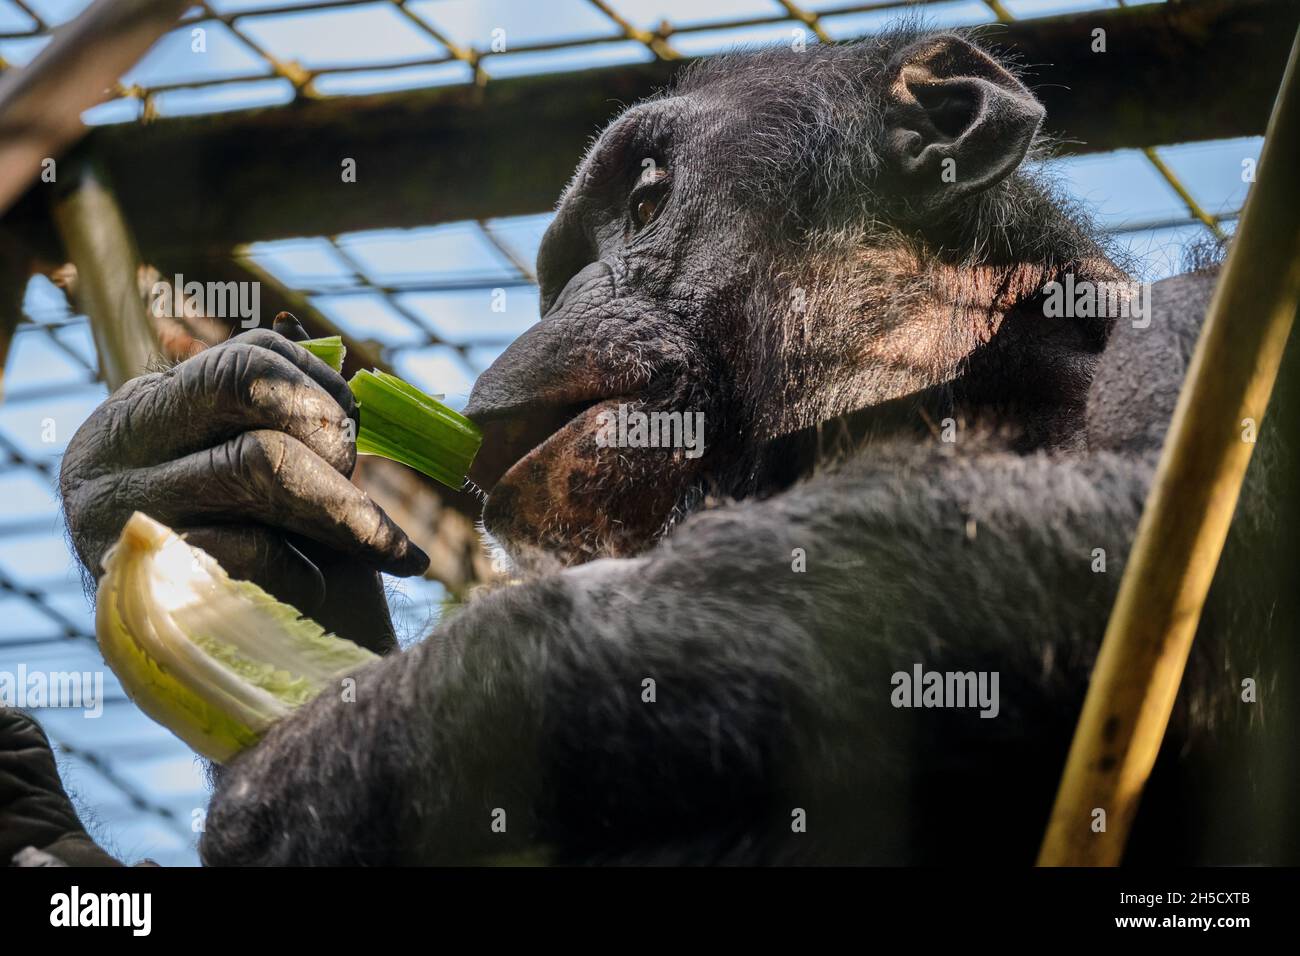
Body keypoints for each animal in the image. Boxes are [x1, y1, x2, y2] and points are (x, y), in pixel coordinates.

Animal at [7, 26, 1297, 865]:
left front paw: (369, 736)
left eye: (642, 200)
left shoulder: (1213, 331)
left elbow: (1147, 540)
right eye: (560, 264)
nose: (562, 297)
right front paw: (204, 478)